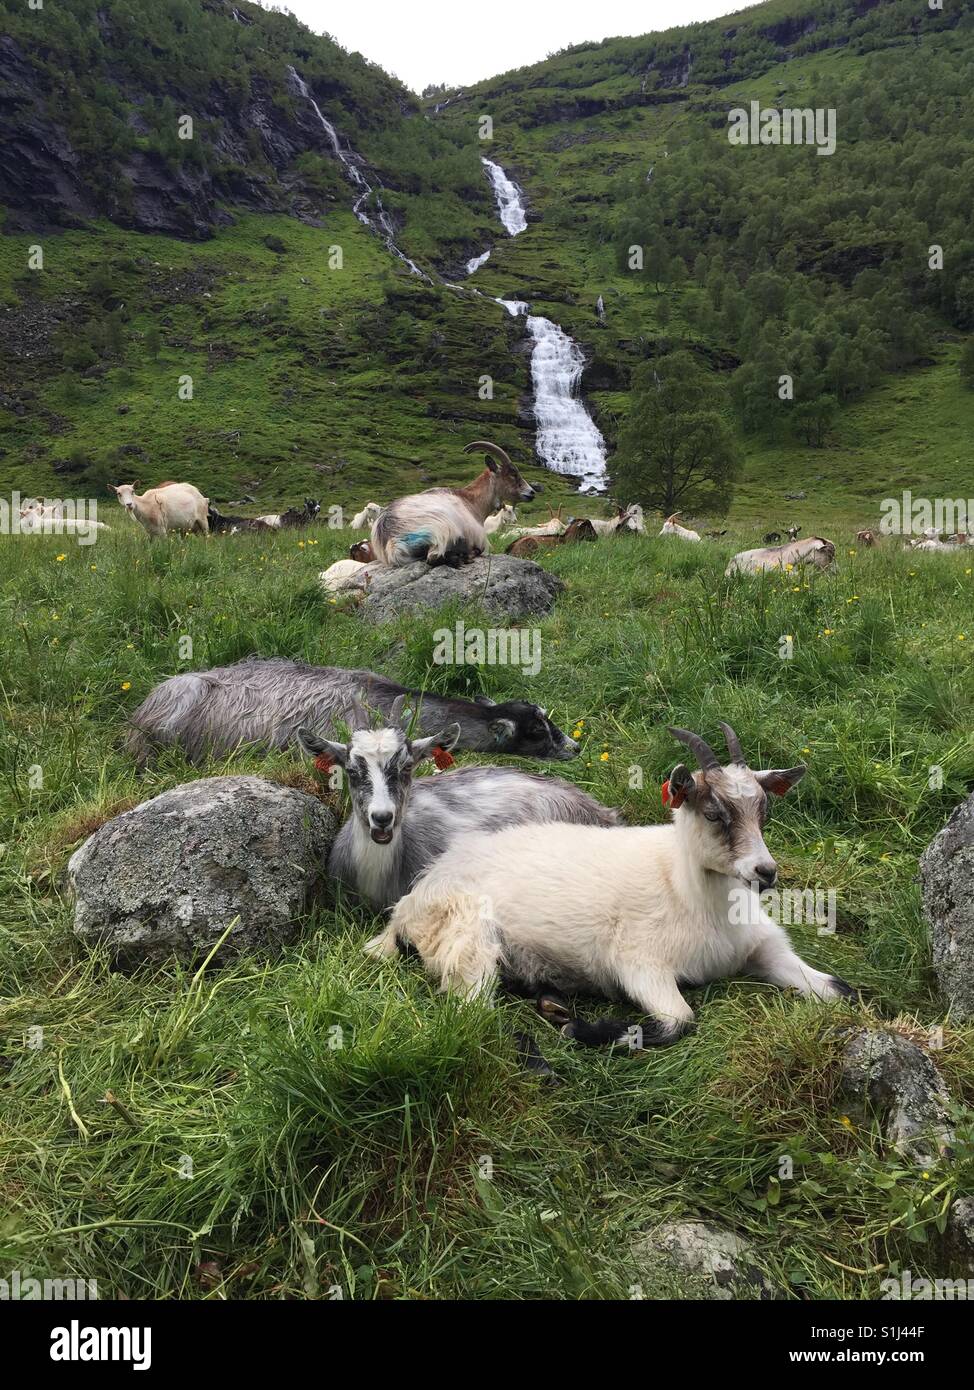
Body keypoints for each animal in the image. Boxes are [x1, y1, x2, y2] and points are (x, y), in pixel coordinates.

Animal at [370, 441, 540, 567]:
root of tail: (390, 537)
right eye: (513, 474)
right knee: (434, 557)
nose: (531, 492)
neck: (470, 501)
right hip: (441, 530)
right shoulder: (479, 537)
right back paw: (464, 556)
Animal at [372, 723, 854, 1047]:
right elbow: (680, 1020)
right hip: (469, 941)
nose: (765, 872)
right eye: (714, 813)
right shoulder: (641, 965)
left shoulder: (767, 948)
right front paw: (584, 1029)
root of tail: (412, 898)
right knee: (473, 1014)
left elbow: (841, 992)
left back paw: (550, 1000)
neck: (685, 889)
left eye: (763, 811)